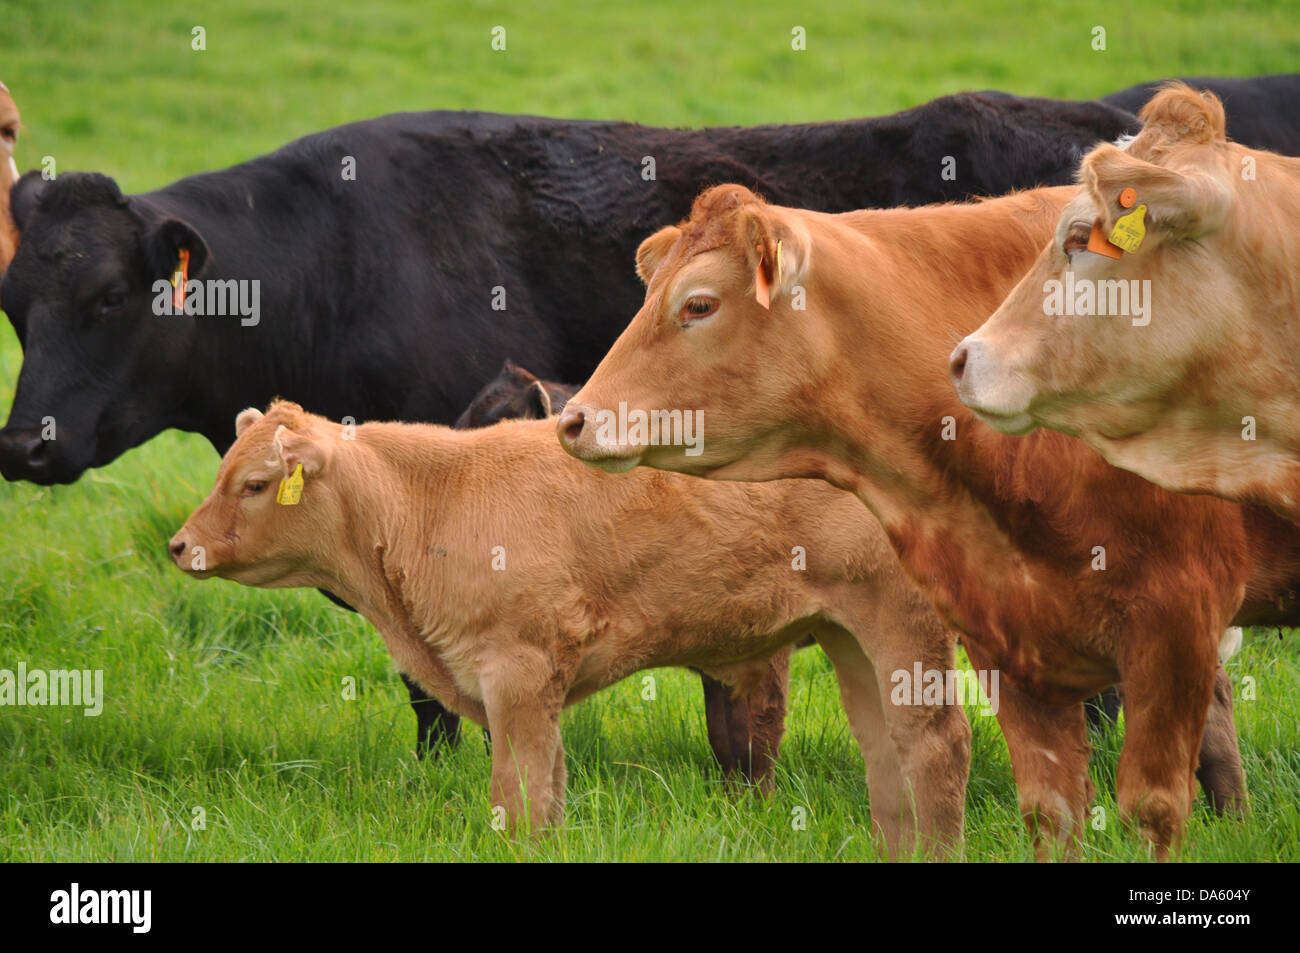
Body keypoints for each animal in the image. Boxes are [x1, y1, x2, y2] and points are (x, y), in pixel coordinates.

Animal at [171, 400, 971, 856]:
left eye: (254, 484)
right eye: (223, 470)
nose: (180, 545)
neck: (428, 503)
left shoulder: (517, 671)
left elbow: (517, 793)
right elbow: (548, 787)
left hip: (902, 624)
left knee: (937, 745)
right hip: (848, 634)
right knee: (886, 748)